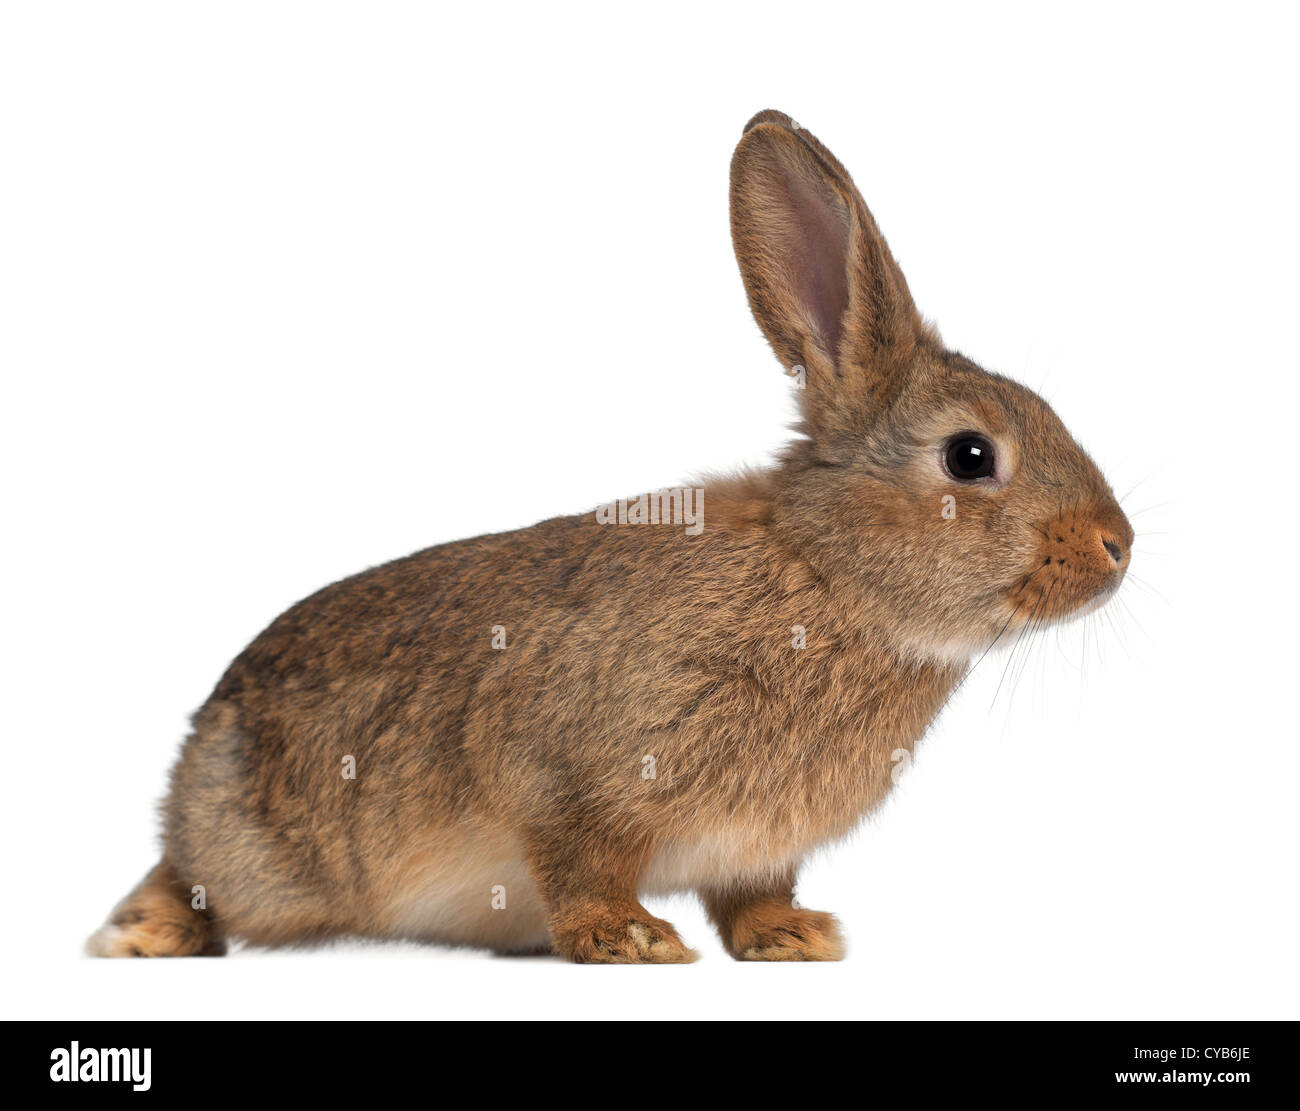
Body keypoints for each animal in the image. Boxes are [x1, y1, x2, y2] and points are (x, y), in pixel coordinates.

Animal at [87, 109, 1132, 963]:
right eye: (969, 455)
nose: (1119, 546)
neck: (824, 574)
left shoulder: (754, 848)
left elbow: (752, 893)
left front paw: (793, 936)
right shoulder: (558, 768)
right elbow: (576, 858)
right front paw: (630, 939)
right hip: (255, 847)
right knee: (186, 871)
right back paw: (144, 933)